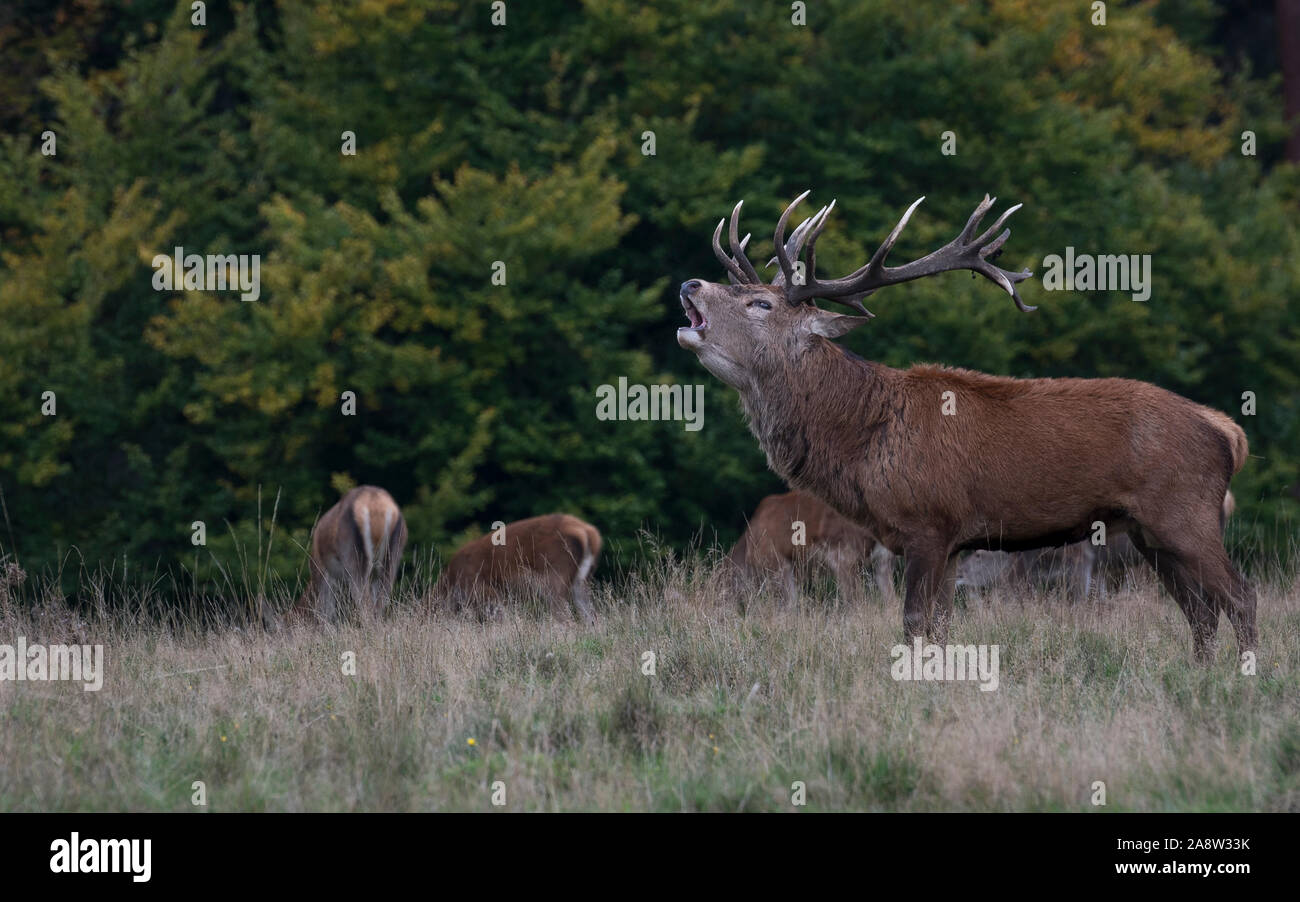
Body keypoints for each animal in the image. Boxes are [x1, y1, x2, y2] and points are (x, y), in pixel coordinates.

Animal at [295, 485, 407, 622]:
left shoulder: (321, 571)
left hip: (354, 557)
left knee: (365, 606)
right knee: (380, 604)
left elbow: (325, 612)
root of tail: (377, 507)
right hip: (393, 555)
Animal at [432, 514, 601, 625]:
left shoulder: (484, 590)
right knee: (592, 618)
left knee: (567, 619)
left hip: (555, 576)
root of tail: (588, 533)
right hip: (581, 581)